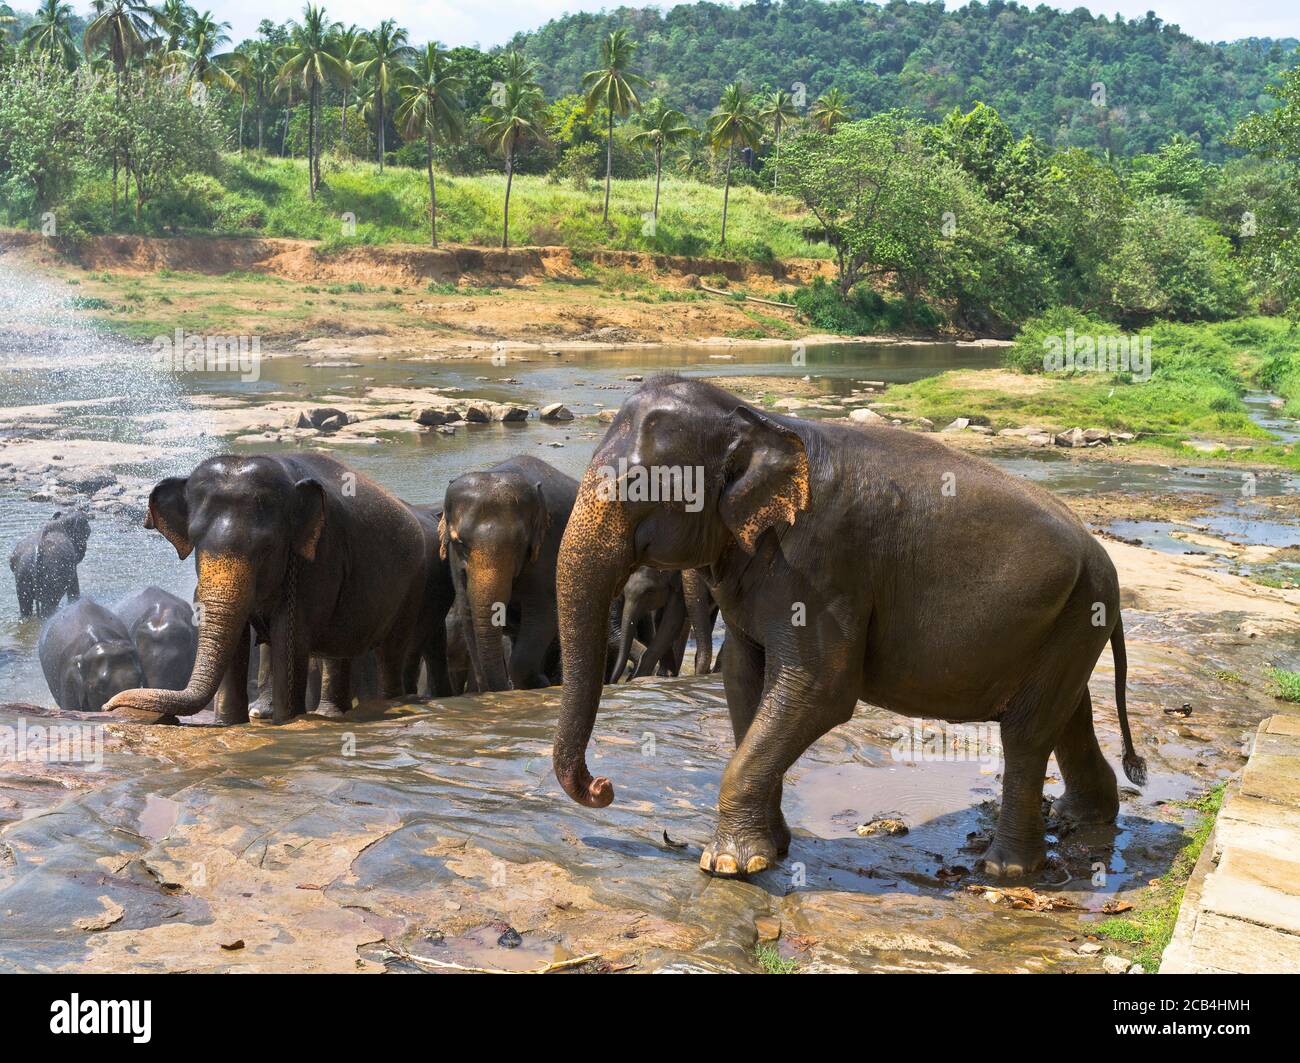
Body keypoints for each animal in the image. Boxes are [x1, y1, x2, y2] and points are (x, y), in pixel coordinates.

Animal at [104, 453, 445, 725]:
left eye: (267, 547)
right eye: (197, 540)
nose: (109, 705)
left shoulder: (320, 557)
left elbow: (289, 635)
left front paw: (287, 722)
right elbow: (241, 638)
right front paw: (230, 724)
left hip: (412, 583)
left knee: (390, 650)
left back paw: (390, 703)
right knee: (338, 648)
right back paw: (317, 714)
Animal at [439, 455, 576, 692]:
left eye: (520, 543)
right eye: (459, 542)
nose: (504, 687)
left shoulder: (551, 544)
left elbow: (543, 610)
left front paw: (539, 683)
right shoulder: (455, 563)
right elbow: (468, 613)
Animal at [551, 376, 1146, 880]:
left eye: (638, 482)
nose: (602, 786)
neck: (761, 421)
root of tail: (1104, 559)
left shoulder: (823, 567)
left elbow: (820, 689)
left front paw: (728, 865)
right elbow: (743, 679)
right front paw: (771, 850)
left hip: (1074, 614)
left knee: (1026, 732)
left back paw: (1006, 871)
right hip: (1071, 620)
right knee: (1067, 715)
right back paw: (1082, 819)